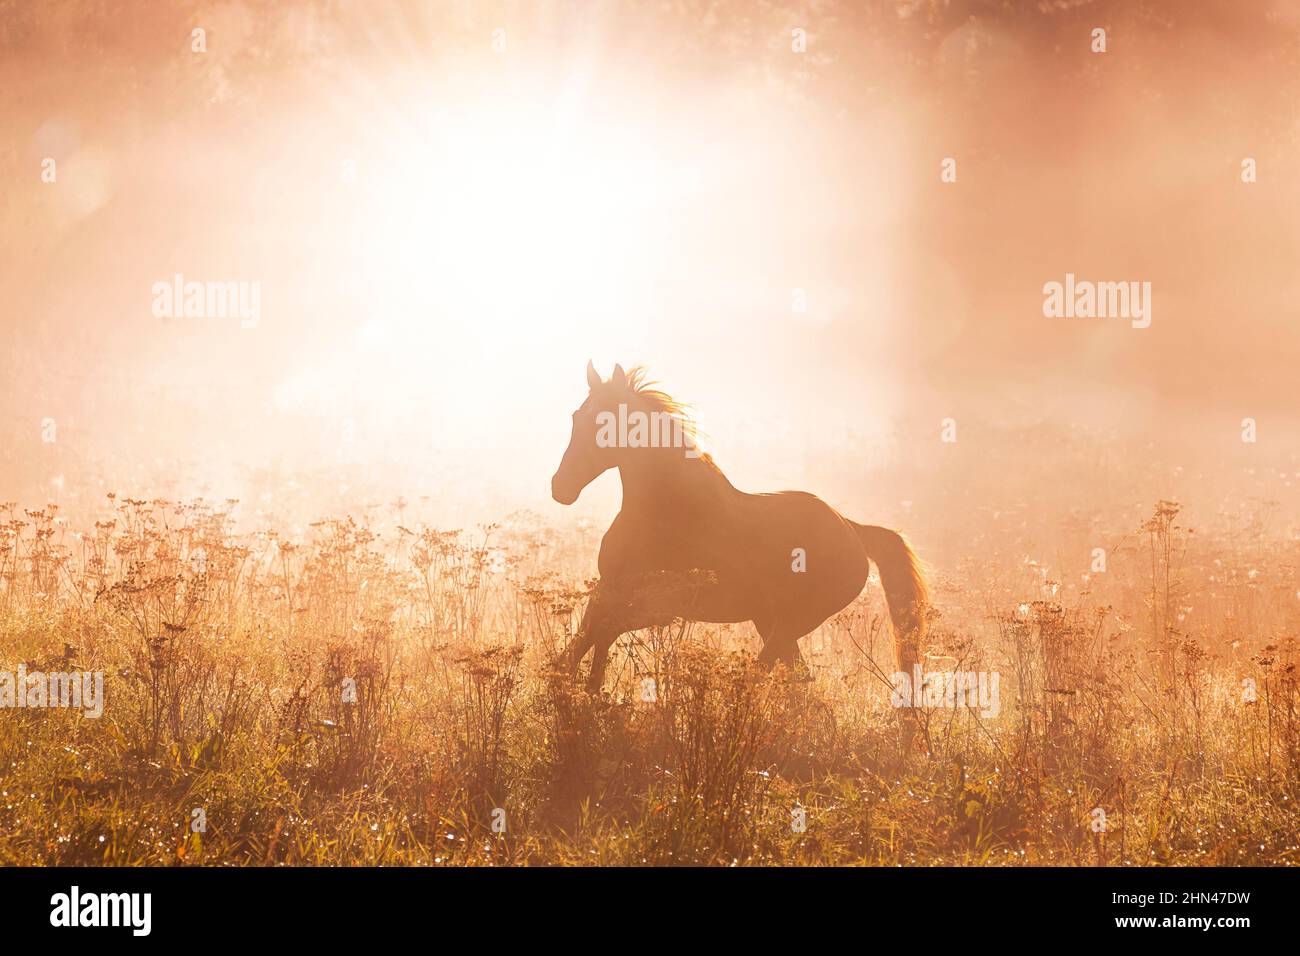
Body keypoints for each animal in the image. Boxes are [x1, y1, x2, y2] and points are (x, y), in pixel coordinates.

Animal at [551, 361, 929, 695]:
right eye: (575, 417)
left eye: (603, 424)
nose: (560, 487)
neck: (666, 512)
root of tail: (852, 529)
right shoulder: (607, 590)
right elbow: (578, 645)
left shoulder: (662, 608)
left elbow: (602, 635)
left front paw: (587, 695)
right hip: (770, 621)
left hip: (789, 624)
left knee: (766, 676)